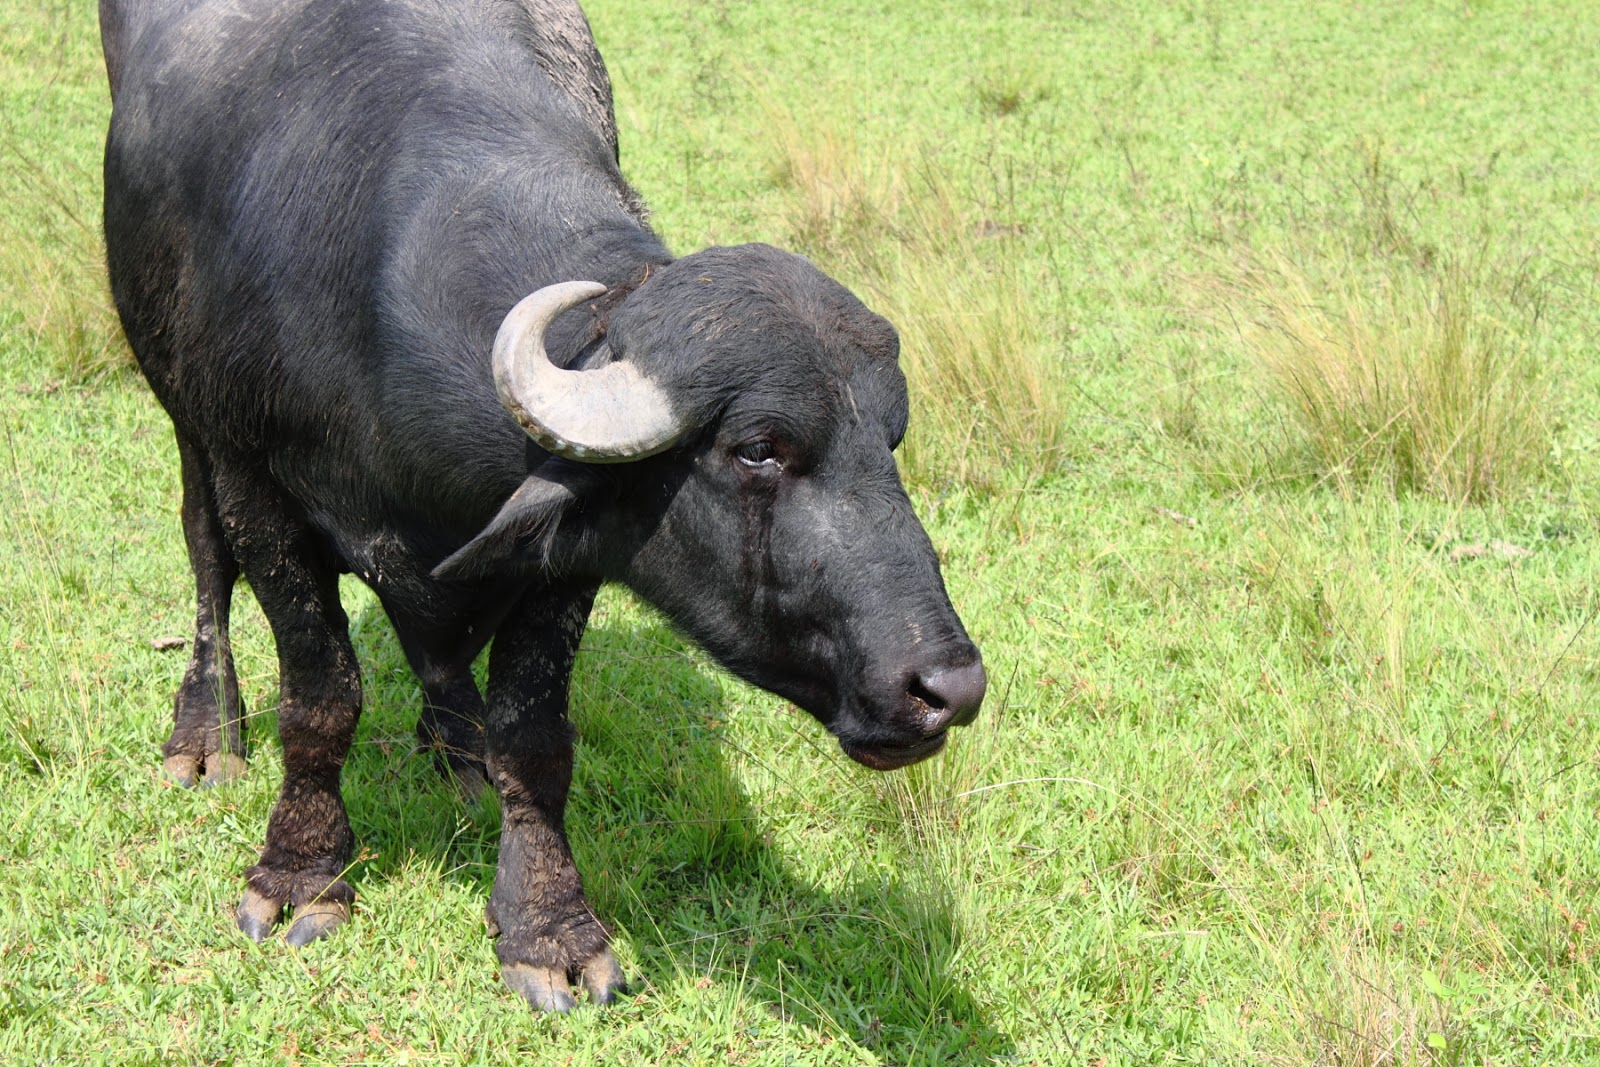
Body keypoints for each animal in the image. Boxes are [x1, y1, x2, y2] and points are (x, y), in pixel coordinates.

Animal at [101, 0, 985, 1011]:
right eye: (758, 447)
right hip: (182, 414)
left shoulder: (565, 561)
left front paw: (546, 925)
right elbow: (321, 695)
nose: (949, 689)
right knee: (206, 554)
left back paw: (457, 747)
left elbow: (533, 735)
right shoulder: (259, 486)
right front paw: (299, 876)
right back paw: (207, 731)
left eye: (892, 439)